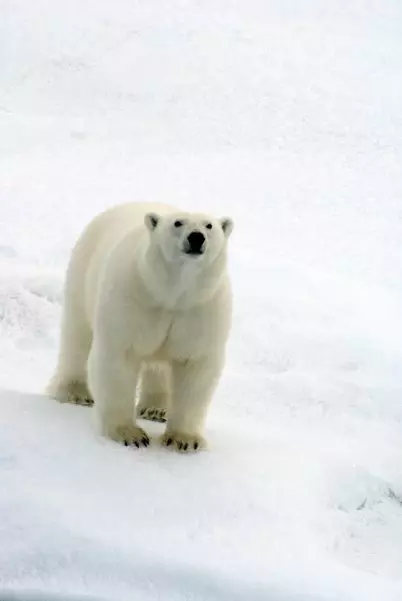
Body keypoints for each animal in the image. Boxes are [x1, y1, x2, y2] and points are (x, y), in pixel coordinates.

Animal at [47, 202, 234, 450]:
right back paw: (74, 392)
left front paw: (184, 440)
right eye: (178, 222)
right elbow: (119, 358)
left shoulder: (199, 310)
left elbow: (195, 367)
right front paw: (129, 434)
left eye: (209, 225)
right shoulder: (133, 298)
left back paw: (157, 408)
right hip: (83, 273)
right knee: (77, 336)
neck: (170, 294)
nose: (196, 237)